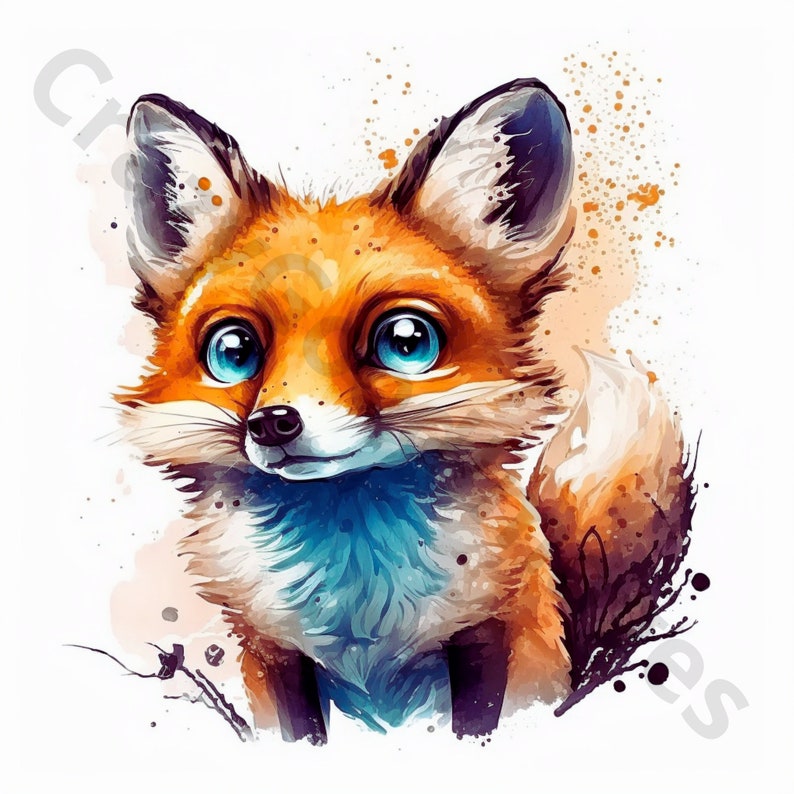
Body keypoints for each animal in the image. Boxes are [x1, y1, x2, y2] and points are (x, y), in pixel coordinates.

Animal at [117, 78, 693, 743]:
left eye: (406, 340)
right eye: (233, 351)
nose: (274, 424)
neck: (355, 597)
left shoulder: (486, 636)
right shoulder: (273, 655)